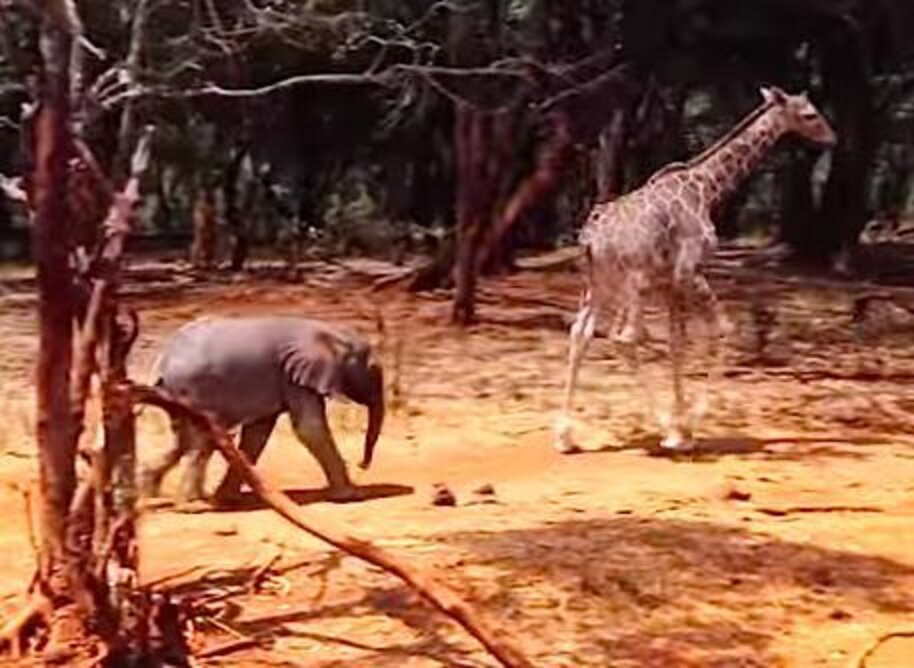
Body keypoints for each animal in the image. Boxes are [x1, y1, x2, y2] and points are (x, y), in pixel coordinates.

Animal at [139, 316, 385, 506]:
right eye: (373, 369)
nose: (361, 464)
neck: (329, 332)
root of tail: (162, 361)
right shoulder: (294, 378)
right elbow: (309, 429)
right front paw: (352, 496)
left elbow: (257, 433)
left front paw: (227, 500)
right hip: (193, 388)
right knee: (200, 439)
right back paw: (192, 505)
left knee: (183, 440)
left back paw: (153, 494)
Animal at [555, 86, 837, 454]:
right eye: (810, 115)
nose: (832, 138)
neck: (707, 188)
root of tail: (589, 240)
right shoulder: (689, 271)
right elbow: (723, 330)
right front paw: (685, 430)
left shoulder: (670, 283)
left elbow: (678, 344)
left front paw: (683, 427)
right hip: (632, 285)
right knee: (625, 338)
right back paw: (660, 428)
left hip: (598, 286)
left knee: (581, 333)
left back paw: (565, 437)